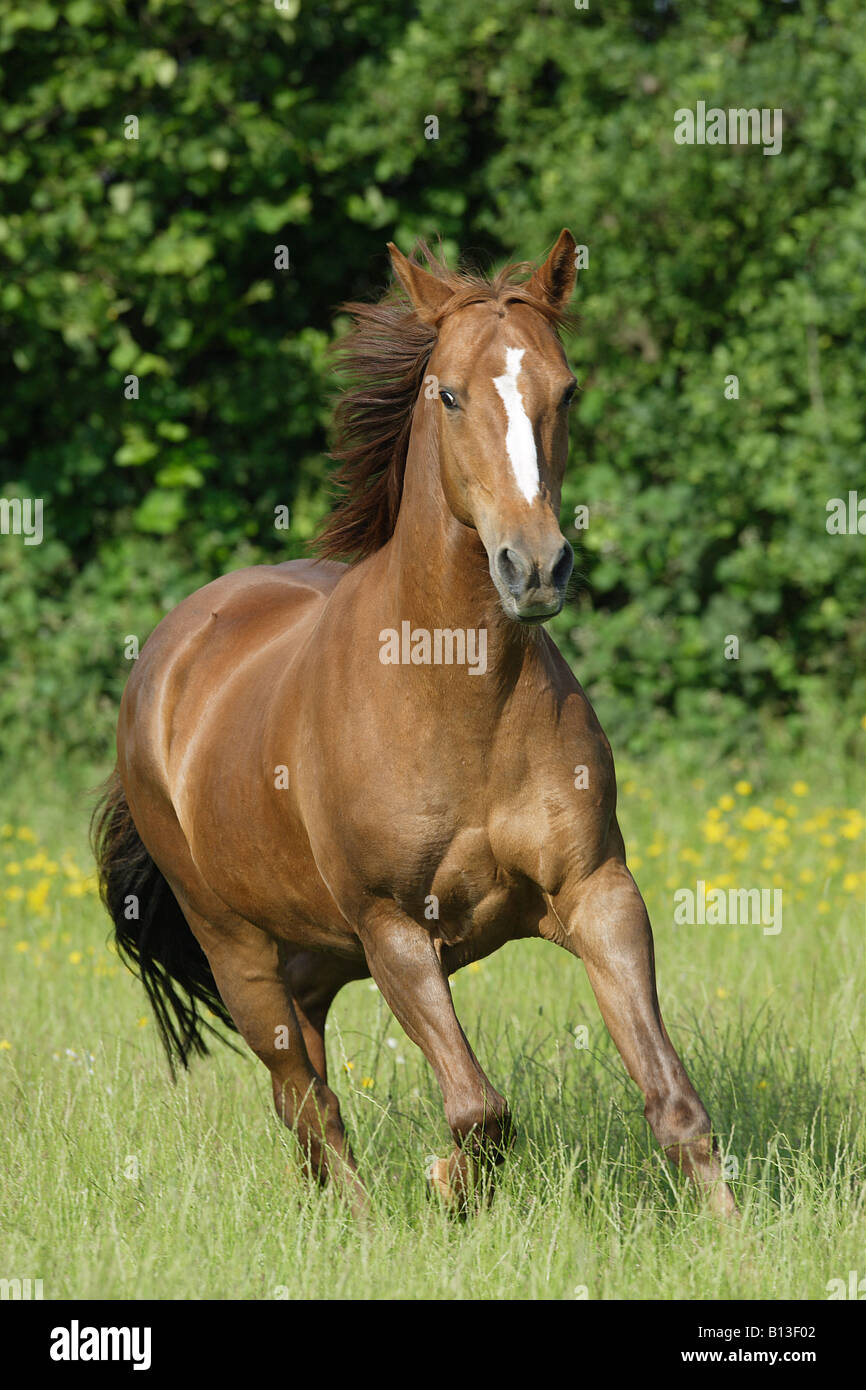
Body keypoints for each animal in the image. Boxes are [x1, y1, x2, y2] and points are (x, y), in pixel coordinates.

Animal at [93, 230, 737, 1219]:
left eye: (567, 389)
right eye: (449, 393)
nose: (535, 567)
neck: (460, 706)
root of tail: (165, 658)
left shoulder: (598, 892)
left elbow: (675, 1103)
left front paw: (733, 1234)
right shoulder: (393, 927)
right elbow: (478, 1109)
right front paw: (445, 1189)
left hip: (313, 961)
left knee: (308, 1095)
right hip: (241, 956)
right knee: (305, 1101)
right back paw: (362, 1230)